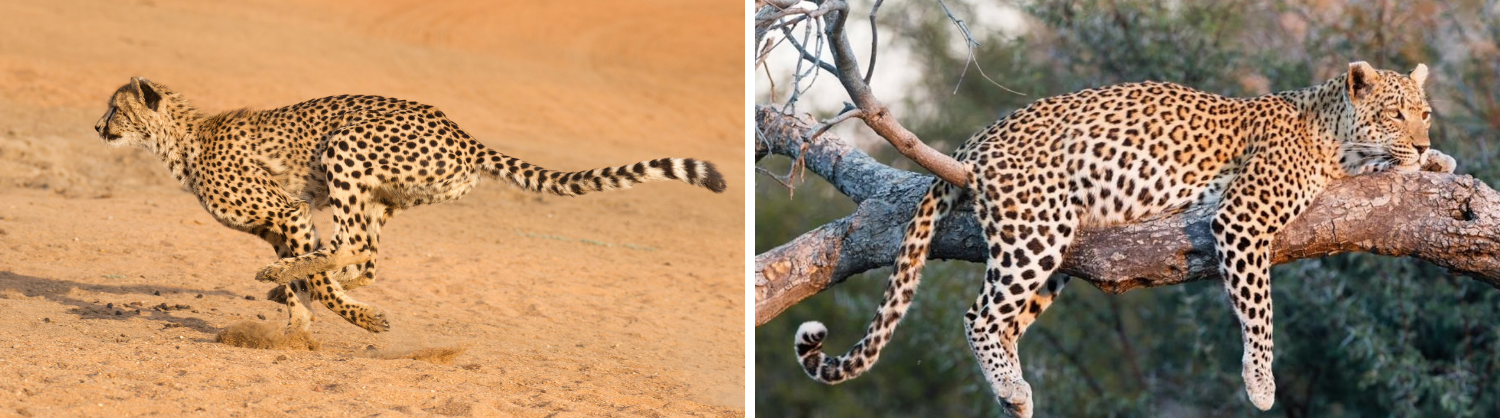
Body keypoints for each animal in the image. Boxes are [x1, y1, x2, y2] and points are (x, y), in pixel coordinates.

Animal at [94, 77, 726, 334]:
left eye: (116, 108)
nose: (98, 127)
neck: (180, 140)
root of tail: (462, 132)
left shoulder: (289, 214)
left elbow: (313, 276)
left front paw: (341, 317)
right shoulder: (279, 225)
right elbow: (310, 279)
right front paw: (297, 321)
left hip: (346, 150)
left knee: (353, 247)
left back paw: (307, 286)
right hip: (381, 194)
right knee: (368, 256)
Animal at [791, 62, 1456, 416]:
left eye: (1424, 113)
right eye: (1395, 113)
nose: (1424, 138)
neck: (1334, 134)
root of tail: (976, 139)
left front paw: (1436, 161)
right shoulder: (1241, 219)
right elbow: (1260, 311)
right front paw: (1262, 383)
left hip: (1054, 253)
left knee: (1002, 319)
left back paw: (1014, 392)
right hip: (1036, 229)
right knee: (978, 316)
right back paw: (1011, 386)